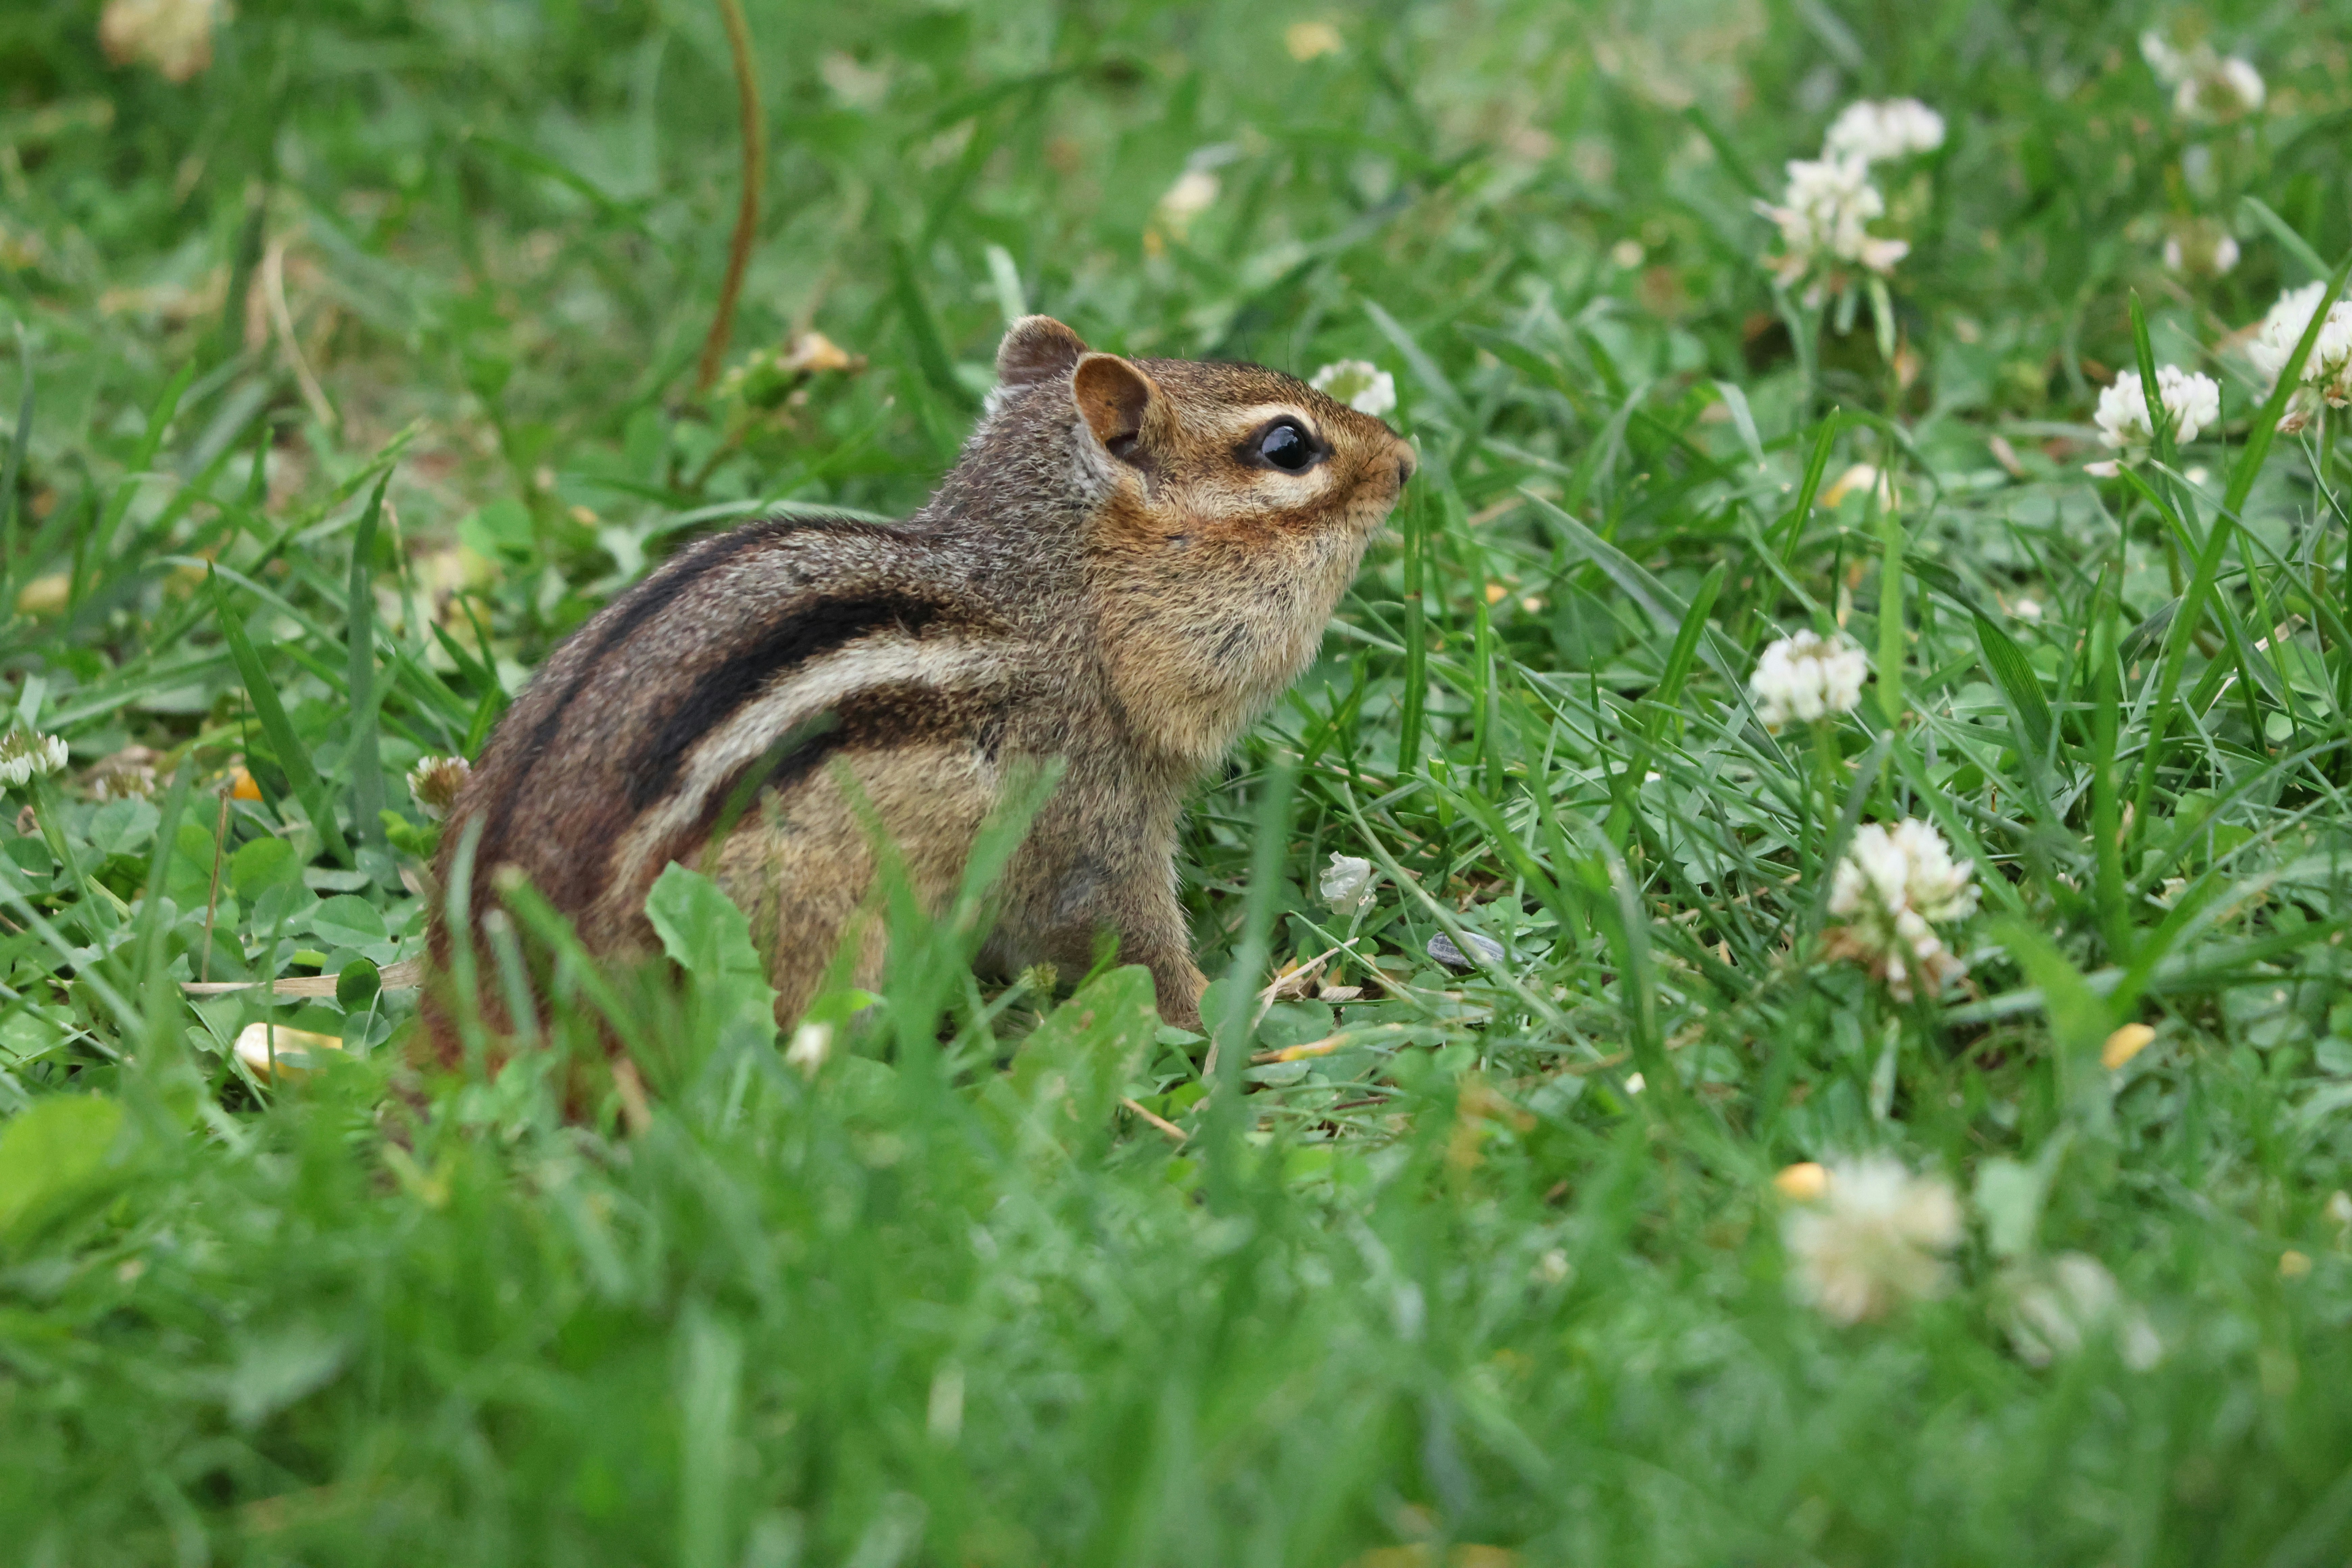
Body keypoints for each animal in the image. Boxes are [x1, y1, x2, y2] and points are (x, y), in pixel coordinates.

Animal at [424, 315, 1414, 1056]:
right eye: (1287, 446)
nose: (1405, 460)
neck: (1056, 609)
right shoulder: (1090, 821)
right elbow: (1129, 944)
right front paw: (1234, 1010)